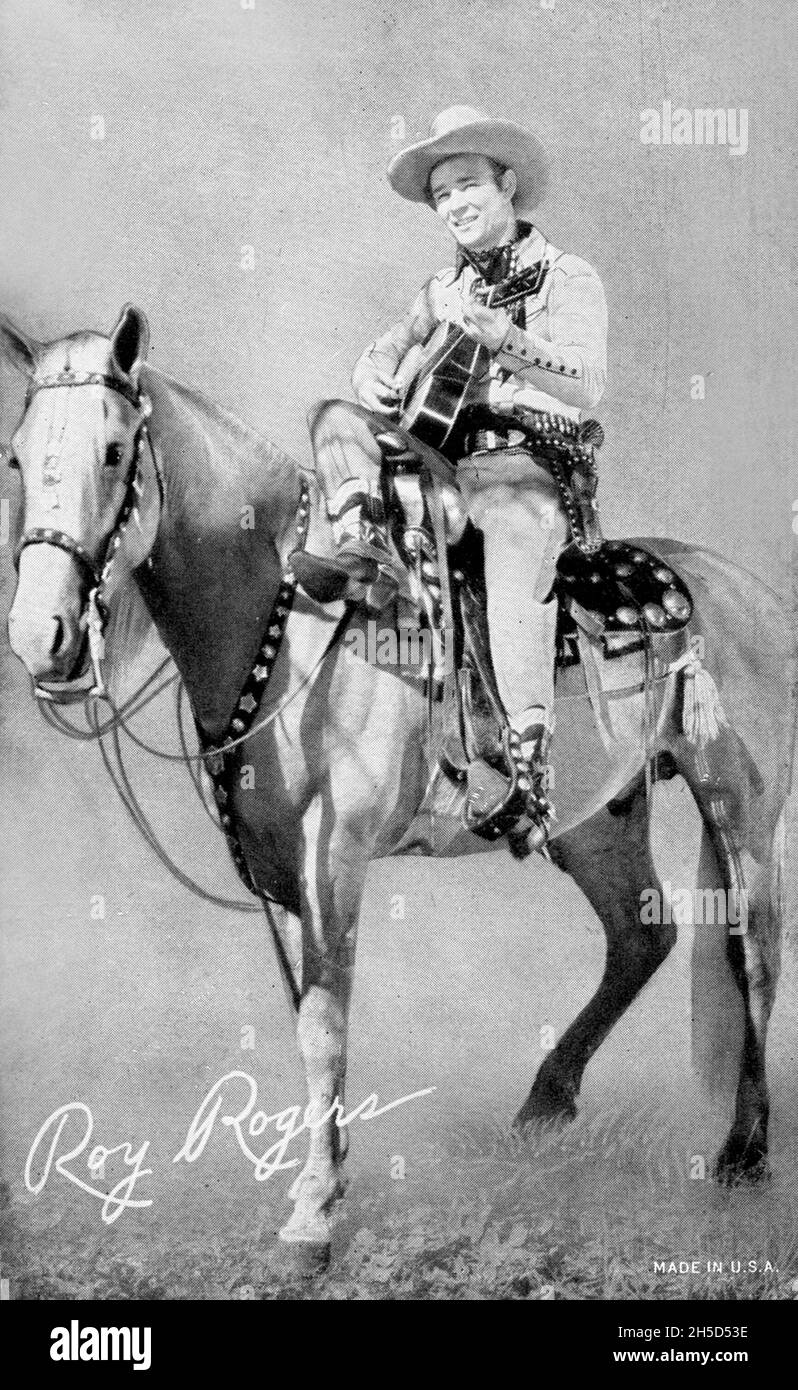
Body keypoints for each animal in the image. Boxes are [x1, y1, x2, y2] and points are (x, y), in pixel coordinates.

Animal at [3, 305, 795, 1262]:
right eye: (17, 457)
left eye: (116, 450)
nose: (38, 635)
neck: (293, 608)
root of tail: (746, 593)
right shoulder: (279, 872)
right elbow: (309, 1015)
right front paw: (325, 1180)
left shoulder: (335, 855)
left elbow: (326, 1022)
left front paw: (312, 1214)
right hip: (597, 821)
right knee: (642, 936)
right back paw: (545, 1103)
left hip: (741, 805)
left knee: (754, 954)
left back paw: (744, 1152)